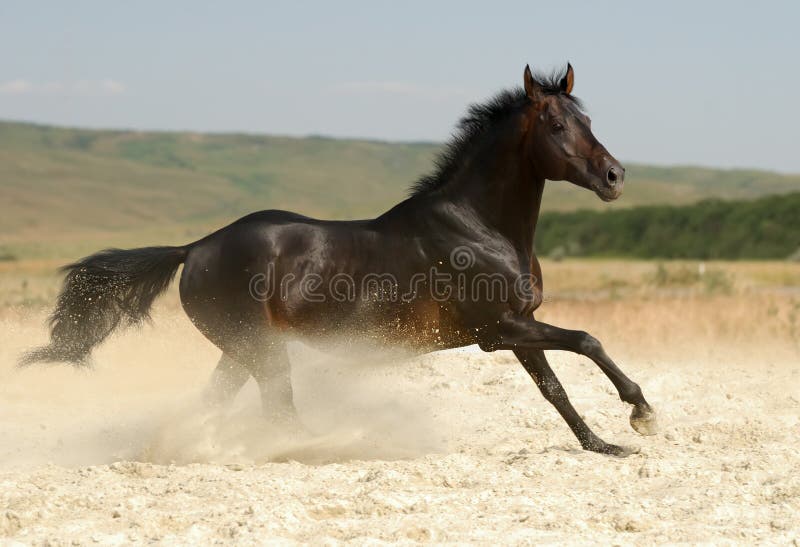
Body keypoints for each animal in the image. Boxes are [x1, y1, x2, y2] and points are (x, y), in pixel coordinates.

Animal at [22, 63, 658, 457]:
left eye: (588, 121)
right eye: (556, 124)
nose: (615, 177)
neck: (480, 227)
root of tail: (194, 249)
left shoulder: (517, 330)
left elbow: (555, 390)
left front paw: (606, 445)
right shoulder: (498, 330)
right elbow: (586, 341)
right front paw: (642, 413)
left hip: (240, 350)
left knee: (219, 402)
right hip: (262, 348)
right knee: (277, 407)